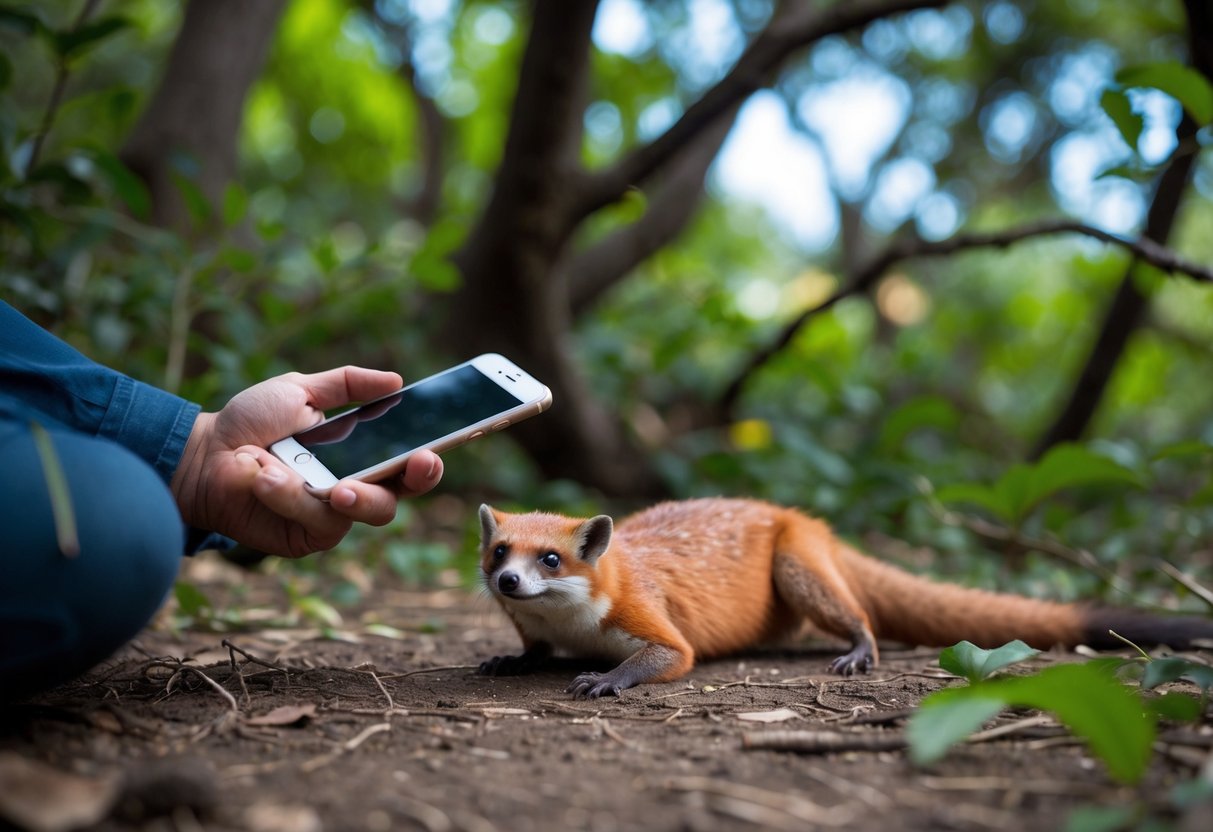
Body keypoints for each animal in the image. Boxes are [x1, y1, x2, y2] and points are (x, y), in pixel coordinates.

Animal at [476, 498, 1213, 699]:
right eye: (498, 554)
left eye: (550, 559)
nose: (507, 584)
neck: (575, 631)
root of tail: (798, 516)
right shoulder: (540, 632)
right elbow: (531, 650)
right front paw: (509, 662)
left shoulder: (664, 636)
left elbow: (649, 660)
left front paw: (605, 679)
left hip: (799, 573)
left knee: (863, 620)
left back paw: (859, 653)